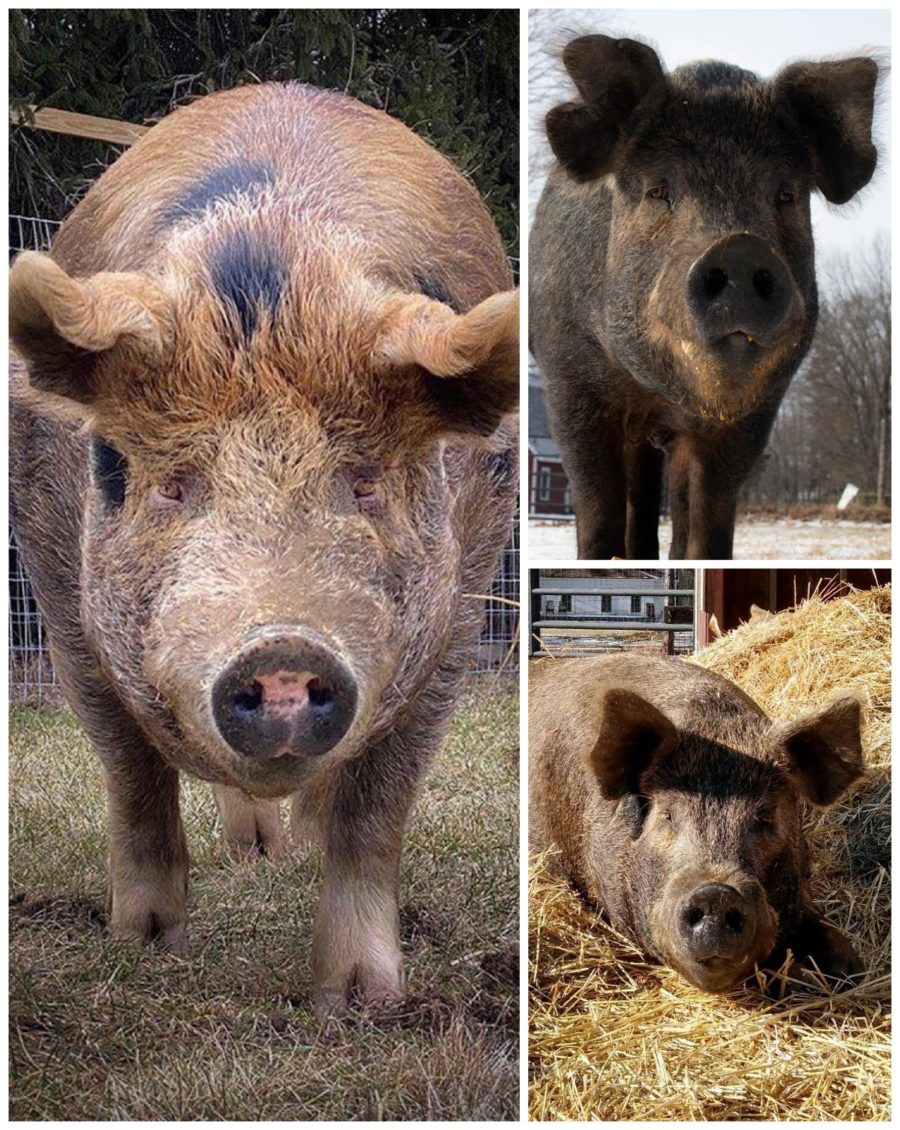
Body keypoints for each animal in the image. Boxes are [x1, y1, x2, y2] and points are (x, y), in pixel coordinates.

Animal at [9, 82, 518, 1018]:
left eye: (364, 480)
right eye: (172, 482)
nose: (282, 649)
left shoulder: (459, 623)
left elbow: (376, 808)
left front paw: (359, 1003)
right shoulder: (63, 610)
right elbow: (131, 773)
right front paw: (144, 947)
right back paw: (252, 857)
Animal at [530, 36, 880, 559]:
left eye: (785, 194)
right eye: (658, 189)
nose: (739, 247)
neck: (662, 394)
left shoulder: (753, 415)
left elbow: (708, 522)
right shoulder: (568, 379)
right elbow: (596, 508)